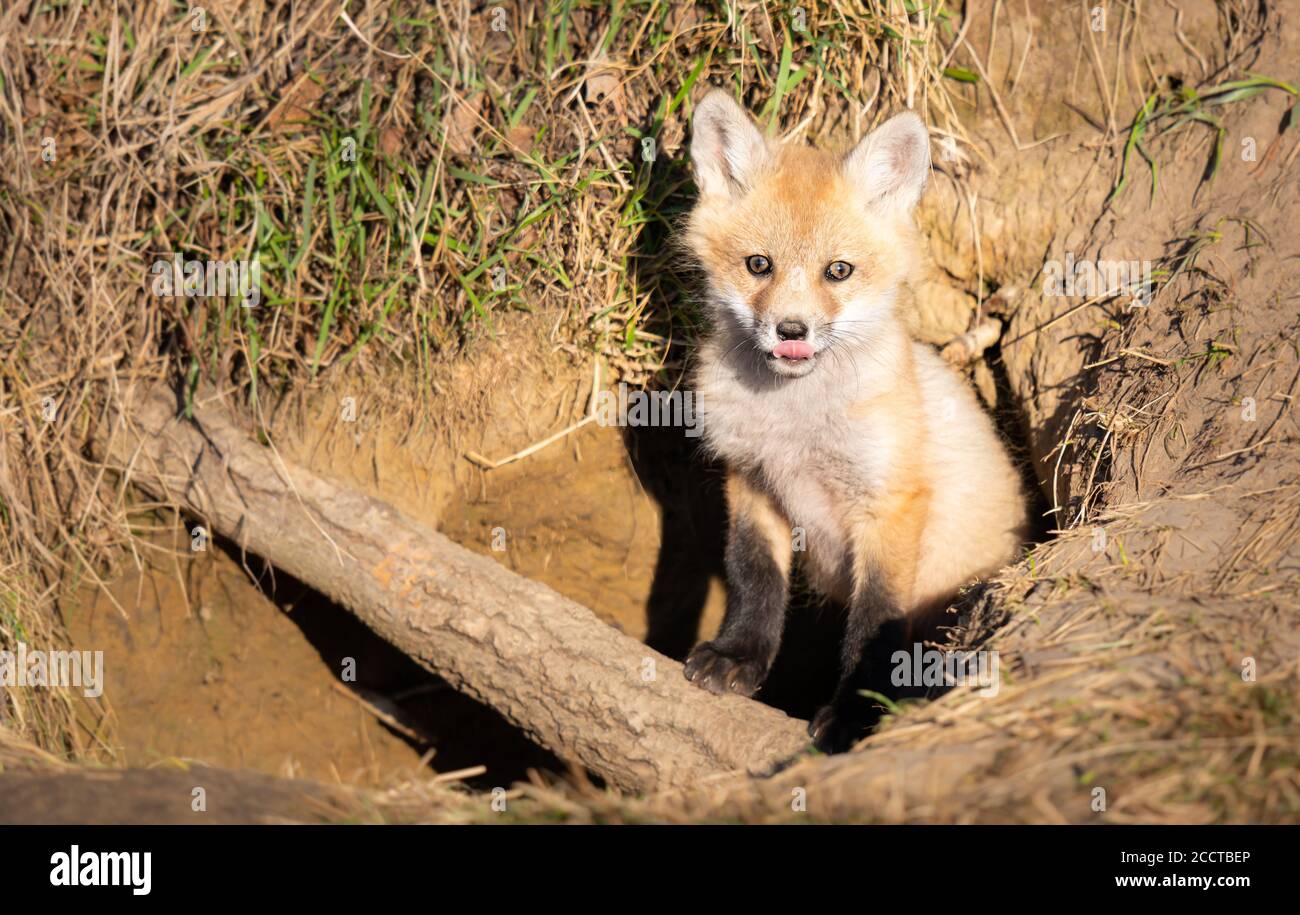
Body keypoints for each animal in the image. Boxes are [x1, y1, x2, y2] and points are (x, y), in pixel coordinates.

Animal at [681, 89, 1029, 752]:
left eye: (837, 271)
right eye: (758, 265)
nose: (791, 330)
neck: (795, 426)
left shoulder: (889, 503)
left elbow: (874, 625)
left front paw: (854, 715)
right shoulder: (751, 480)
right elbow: (754, 580)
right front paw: (739, 656)